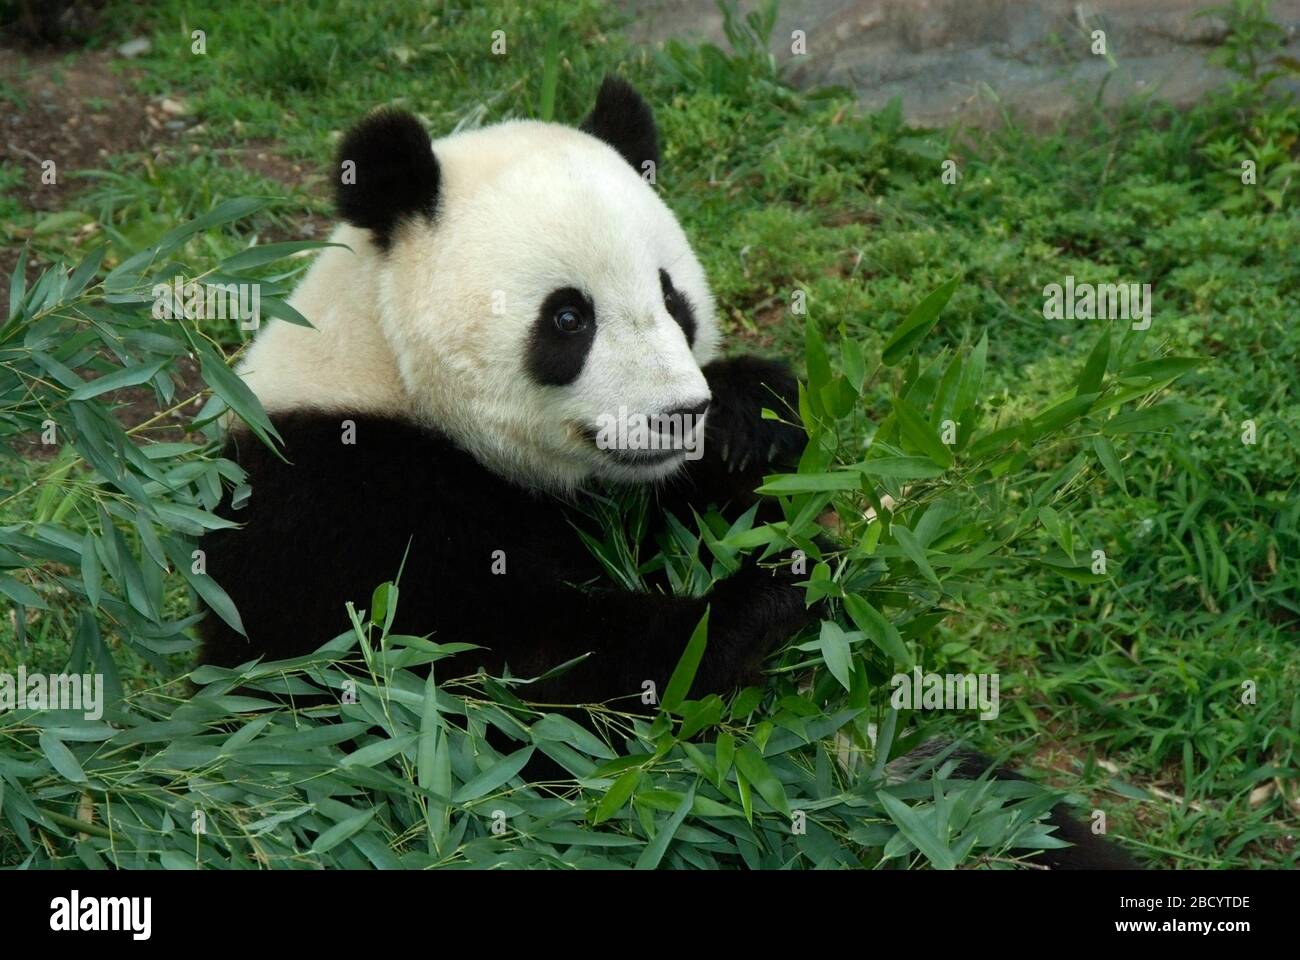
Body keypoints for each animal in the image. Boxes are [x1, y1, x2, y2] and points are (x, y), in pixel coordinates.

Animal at [197, 77, 1135, 870]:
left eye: (672, 298)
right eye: (568, 317)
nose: (677, 413)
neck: (389, 380)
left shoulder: (646, 499)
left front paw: (750, 420)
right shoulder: (332, 512)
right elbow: (502, 696)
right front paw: (772, 594)